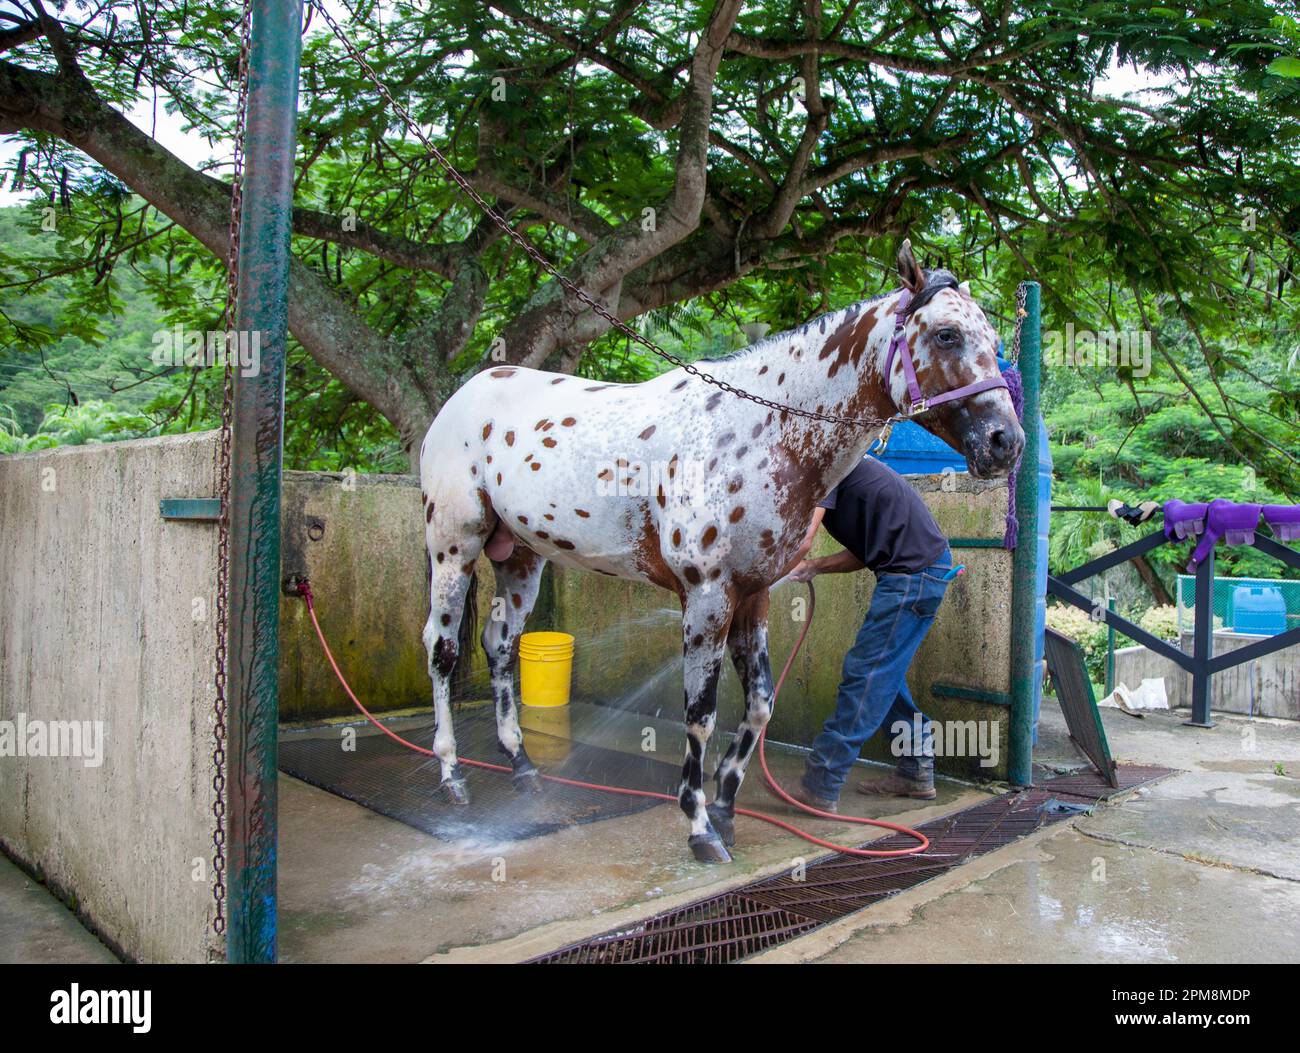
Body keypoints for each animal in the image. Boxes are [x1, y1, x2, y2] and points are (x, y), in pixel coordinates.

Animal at [416, 241, 1025, 863]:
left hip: (520, 558)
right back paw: (451, 774)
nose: (1007, 443)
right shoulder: (706, 597)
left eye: (993, 339)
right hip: (453, 548)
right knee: (441, 650)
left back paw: (521, 765)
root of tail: (465, 395)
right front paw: (701, 826)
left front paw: (727, 806)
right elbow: (701, 715)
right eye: (947, 334)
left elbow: (759, 705)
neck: (758, 428)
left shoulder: (752, 596)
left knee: (499, 645)